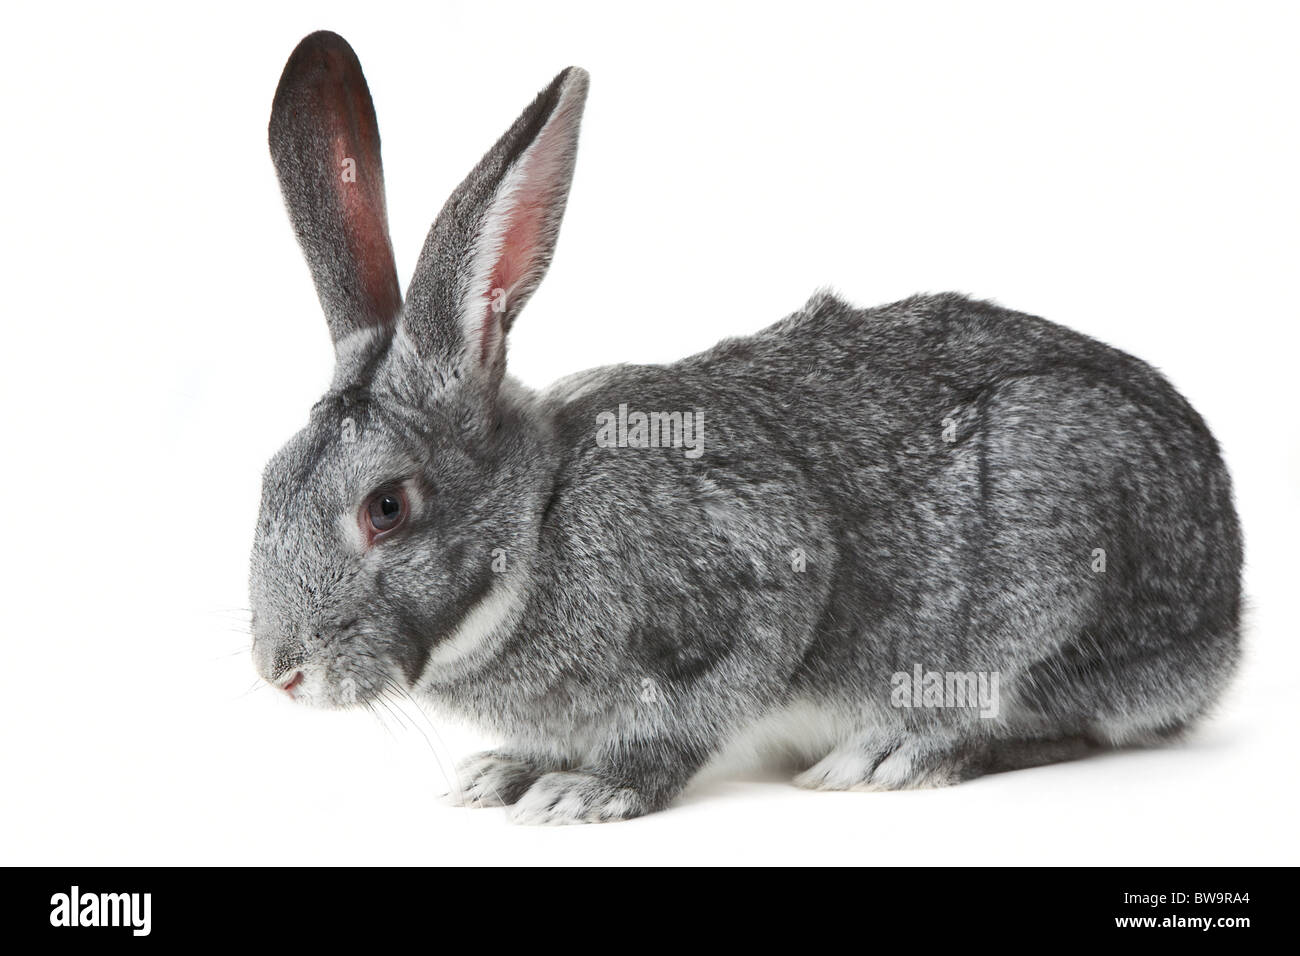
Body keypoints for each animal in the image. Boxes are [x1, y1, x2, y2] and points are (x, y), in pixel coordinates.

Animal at [249, 30, 1243, 824]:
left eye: (387, 507)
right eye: (265, 482)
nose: (277, 671)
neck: (539, 521)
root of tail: (1226, 621)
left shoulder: (762, 575)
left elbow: (686, 714)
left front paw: (588, 791)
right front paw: (503, 775)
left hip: (1061, 572)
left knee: (1057, 722)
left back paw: (894, 752)